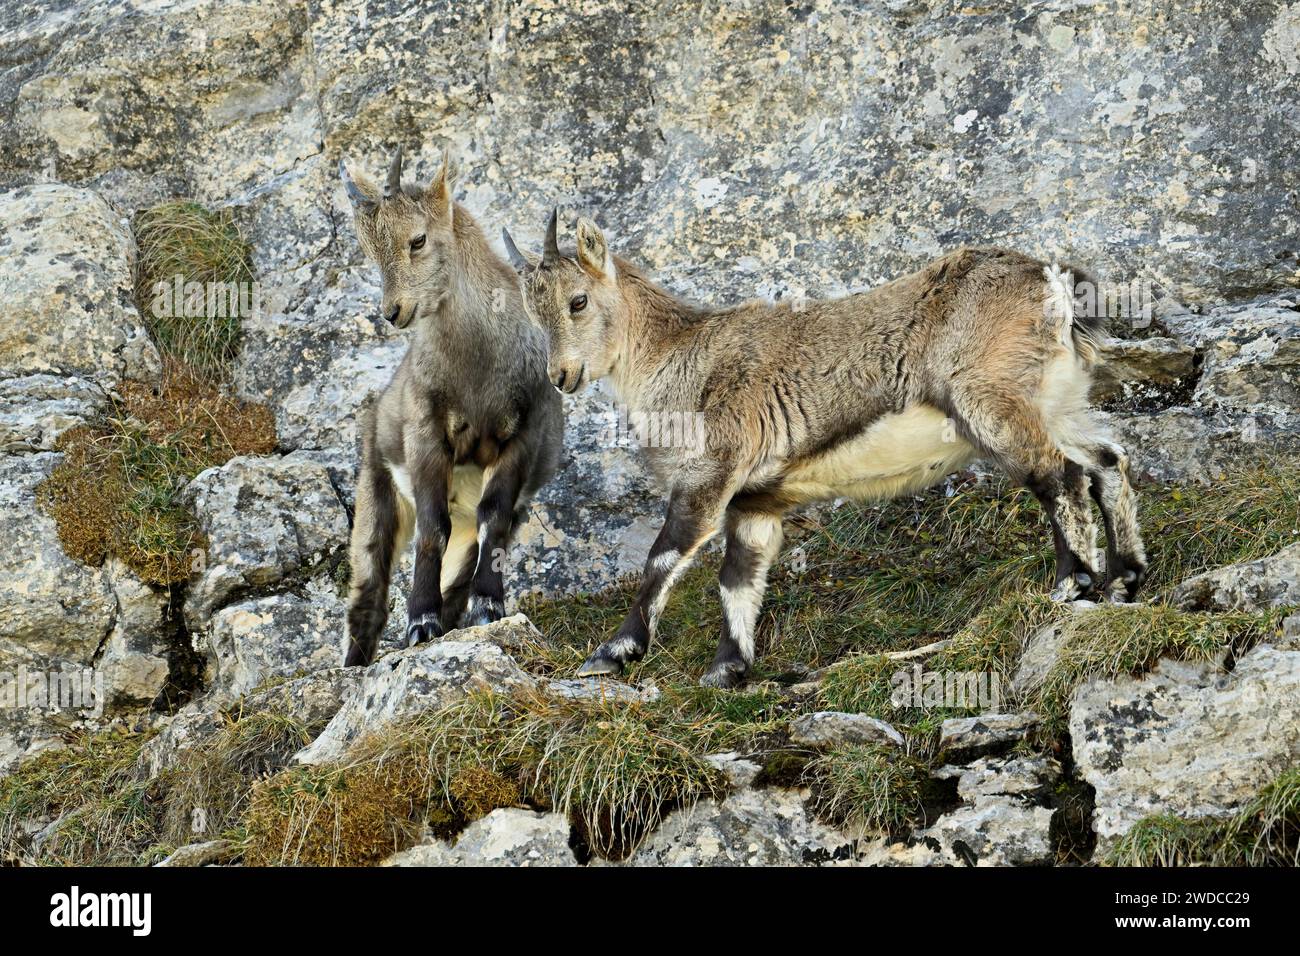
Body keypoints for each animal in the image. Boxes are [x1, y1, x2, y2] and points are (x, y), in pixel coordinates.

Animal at [337, 151, 562, 667]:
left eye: (417, 239)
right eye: (370, 252)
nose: (393, 311)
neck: (476, 367)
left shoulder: (522, 435)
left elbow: (493, 520)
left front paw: (489, 606)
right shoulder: (427, 434)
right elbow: (430, 527)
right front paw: (420, 621)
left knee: (458, 571)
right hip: (376, 491)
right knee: (369, 594)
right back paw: (357, 663)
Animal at [503, 211, 1146, 688]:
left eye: (578, 301)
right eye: (533, 311)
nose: (561, 375)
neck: (676, 358)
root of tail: (1053, 281)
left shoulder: (711, 472)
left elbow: (663, 557)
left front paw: (613, 652)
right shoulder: (755, 502)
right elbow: (738, 578)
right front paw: (726, 670)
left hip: (990, 402)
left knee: (1059, 476)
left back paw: (1072, 582)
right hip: (1055, 404)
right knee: (1107, 460)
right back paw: (1125, 578)